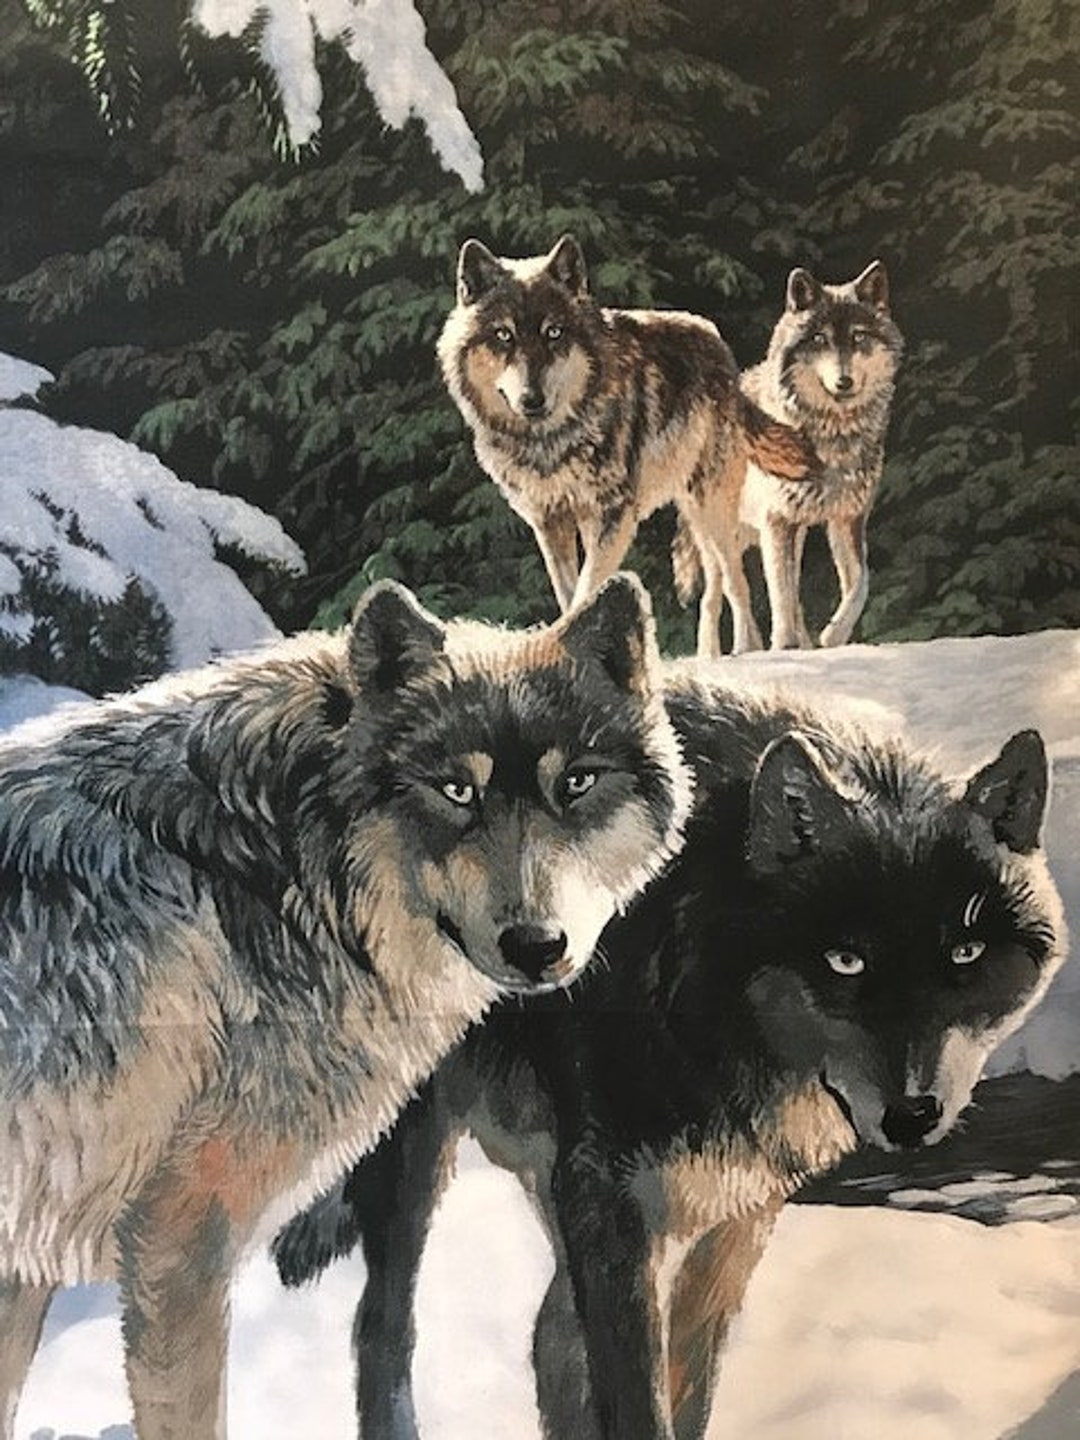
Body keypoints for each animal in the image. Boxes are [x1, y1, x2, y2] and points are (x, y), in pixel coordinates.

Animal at [0, 574, 692, 1440]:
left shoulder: (34, 1255)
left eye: (576, 783)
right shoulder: (180, 1236)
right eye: (455, 789)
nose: (537, 944)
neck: (281, 869)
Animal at [275, 681, 1064, 1440]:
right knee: (384, 1329)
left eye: (964, 954)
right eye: (845, 960)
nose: (911, 1115)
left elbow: (689, 1387)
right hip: (420, 1162)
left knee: (547, 1339)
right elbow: (637, 1402)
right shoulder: (611, 1203)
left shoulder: (738, 1212)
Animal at [437, 233, 819, 658]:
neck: (552, 440)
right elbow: (569, 593)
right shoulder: (550, 521)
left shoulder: (610, 515)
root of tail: (720, 347)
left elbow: (586, 589)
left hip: (712, 509)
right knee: (717, 583)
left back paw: (746, 650)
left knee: (738, 582)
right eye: (504, 335)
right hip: (692, 514)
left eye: (554, 333)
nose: (531, 400)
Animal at [674, 261, 904, 649]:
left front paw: (833, 635)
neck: (833, 438)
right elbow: (777, 597)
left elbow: (860, 584)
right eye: (819, 339)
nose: (844, 382)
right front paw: (783, 646)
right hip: (721, 537)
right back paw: (733, 650)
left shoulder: (847, 519)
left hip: (784, 534)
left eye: (858, 338)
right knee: (725, 594)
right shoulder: (778, 520)